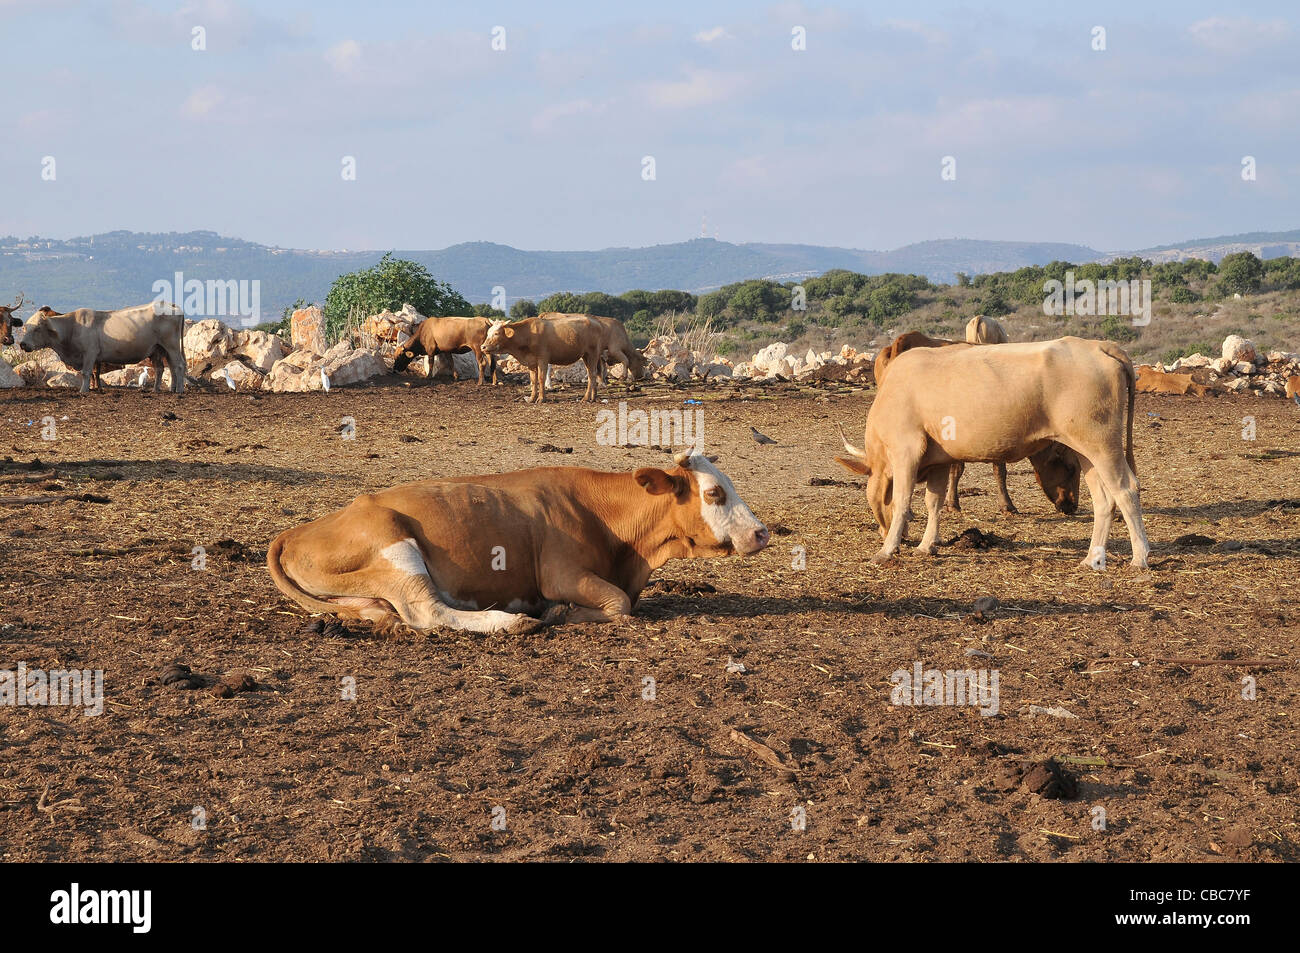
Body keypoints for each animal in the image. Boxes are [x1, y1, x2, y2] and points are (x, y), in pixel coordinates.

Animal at [19, 302, 186, 394]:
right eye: (25, 327)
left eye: (37, 328)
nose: (22, 344)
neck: (72, 327)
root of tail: (170, 304)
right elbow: (95, 373)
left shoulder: (90, 353)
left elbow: (86, 373)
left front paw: (83, 390)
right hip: (158, 349)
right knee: (164, 368)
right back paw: (161, 389)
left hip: (171, 345)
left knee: (179, 365)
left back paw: (179, 389)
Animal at [267, 449, 770, 633]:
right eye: (715, 492)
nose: (761, 532)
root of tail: (296, 531)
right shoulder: (560, 573)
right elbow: (618, 604)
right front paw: (560, 612)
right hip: (395, 547)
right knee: (428, 611)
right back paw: (508, 622)